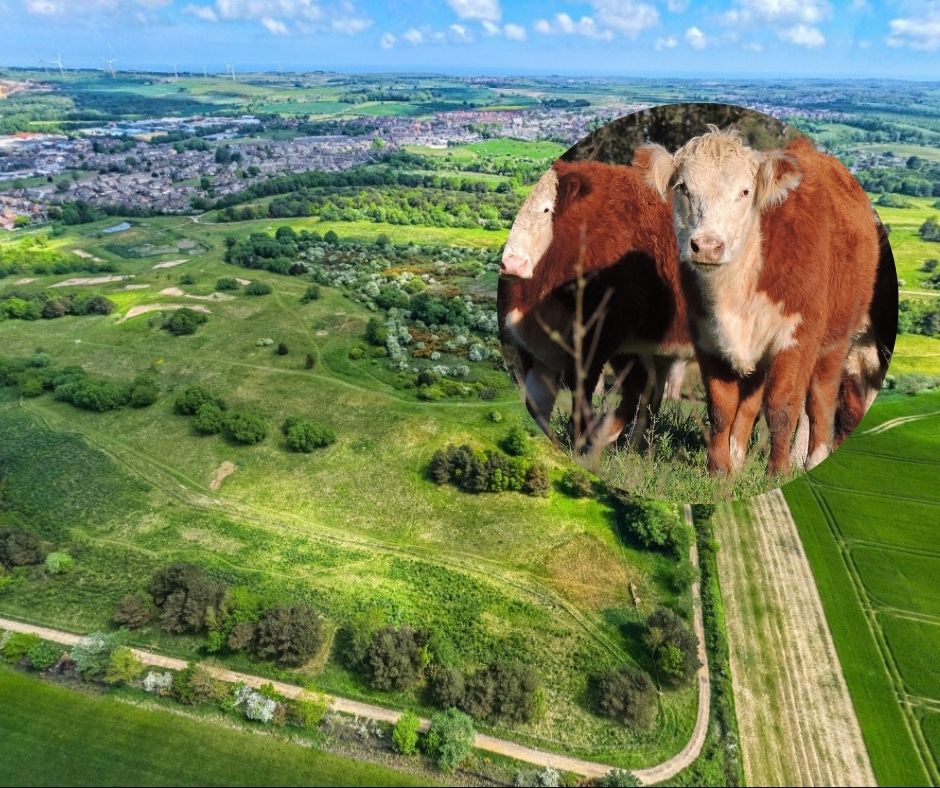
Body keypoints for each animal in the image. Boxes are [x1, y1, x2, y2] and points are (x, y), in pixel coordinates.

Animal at [497, 159, 693, 451]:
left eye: (546, 209)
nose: (512, 264)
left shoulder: (602, 335)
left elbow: (584, 390)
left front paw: (581, 439)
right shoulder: (534, 348)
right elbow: (537, 407)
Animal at [640, 127, 880, 476]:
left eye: (745, 191)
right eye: (683, 187)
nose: (708, 246)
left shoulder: (796, 339)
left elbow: (782, 407)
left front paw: (777, 472)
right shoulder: (708, 337)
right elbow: (722, 407)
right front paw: (719, 471)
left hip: (836, 342)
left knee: (820, 401)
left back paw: (814, 459)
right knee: (750, 402)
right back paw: (737, 457)